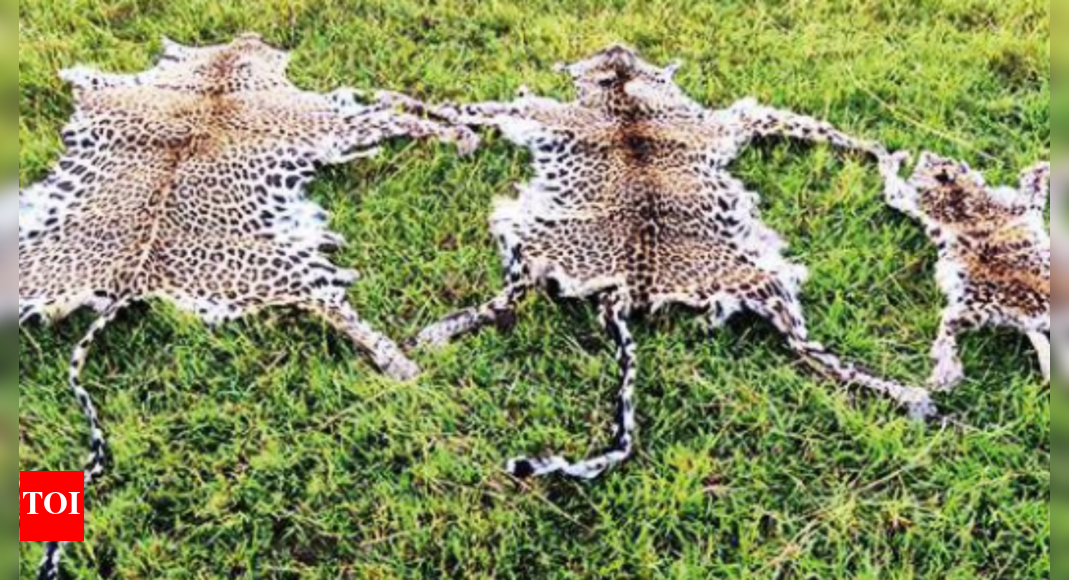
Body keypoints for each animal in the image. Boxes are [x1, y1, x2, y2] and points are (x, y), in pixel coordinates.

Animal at [18, 33, 476, 579]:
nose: (252, 39)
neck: (219, 77)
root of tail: (134, 279)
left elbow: (392, 103)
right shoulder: (333, 120)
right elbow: (392, 113)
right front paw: (460, 131)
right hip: (298, 271)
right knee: (343, 314)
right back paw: (404, 361)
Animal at [399, 45, 936, 481]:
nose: (618, 46)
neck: (623, 92)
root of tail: (631, 285)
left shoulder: (529, 111)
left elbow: (455, 106)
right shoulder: (732, 120)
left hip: (533, 248)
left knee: (504, 299)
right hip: (756, 282)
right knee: (813, 351)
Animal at [879, 151, 1050, 390]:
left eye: (942, 159)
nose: (926, 153)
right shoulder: (1022, 208)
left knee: (947, 330)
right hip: (975, 308)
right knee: (946, 333)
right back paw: (944, 375)